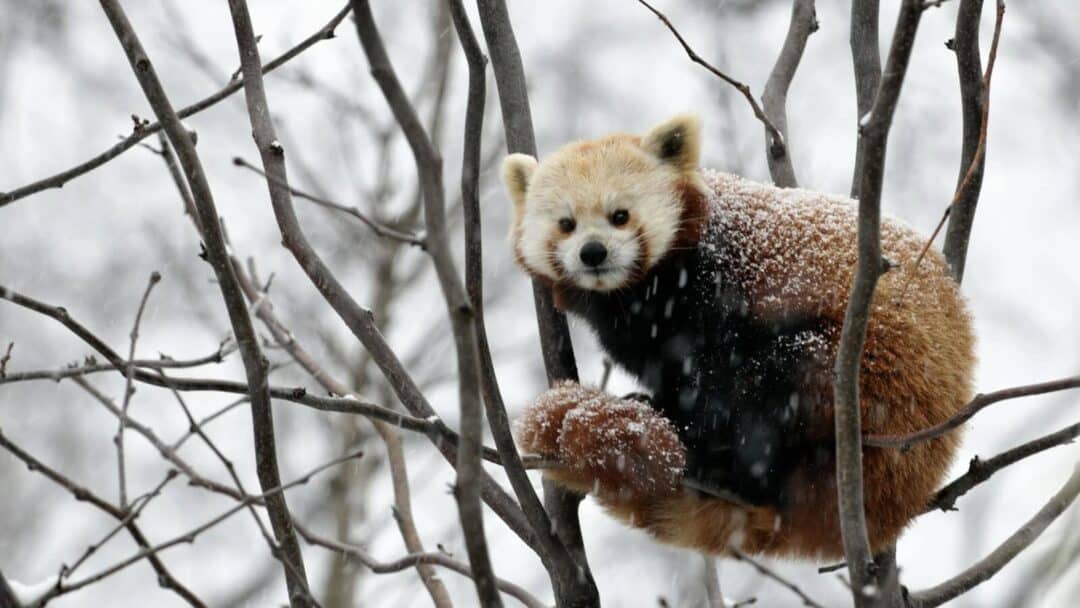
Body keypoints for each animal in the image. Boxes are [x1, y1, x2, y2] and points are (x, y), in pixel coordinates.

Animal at [503, 114, 975, 560]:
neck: (637, 296)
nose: (593, 252)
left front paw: (683, 418)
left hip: (868, 384)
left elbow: (715, 371)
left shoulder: (715, 290)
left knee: (774, 383)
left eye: (620, 215)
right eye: (566, 224)